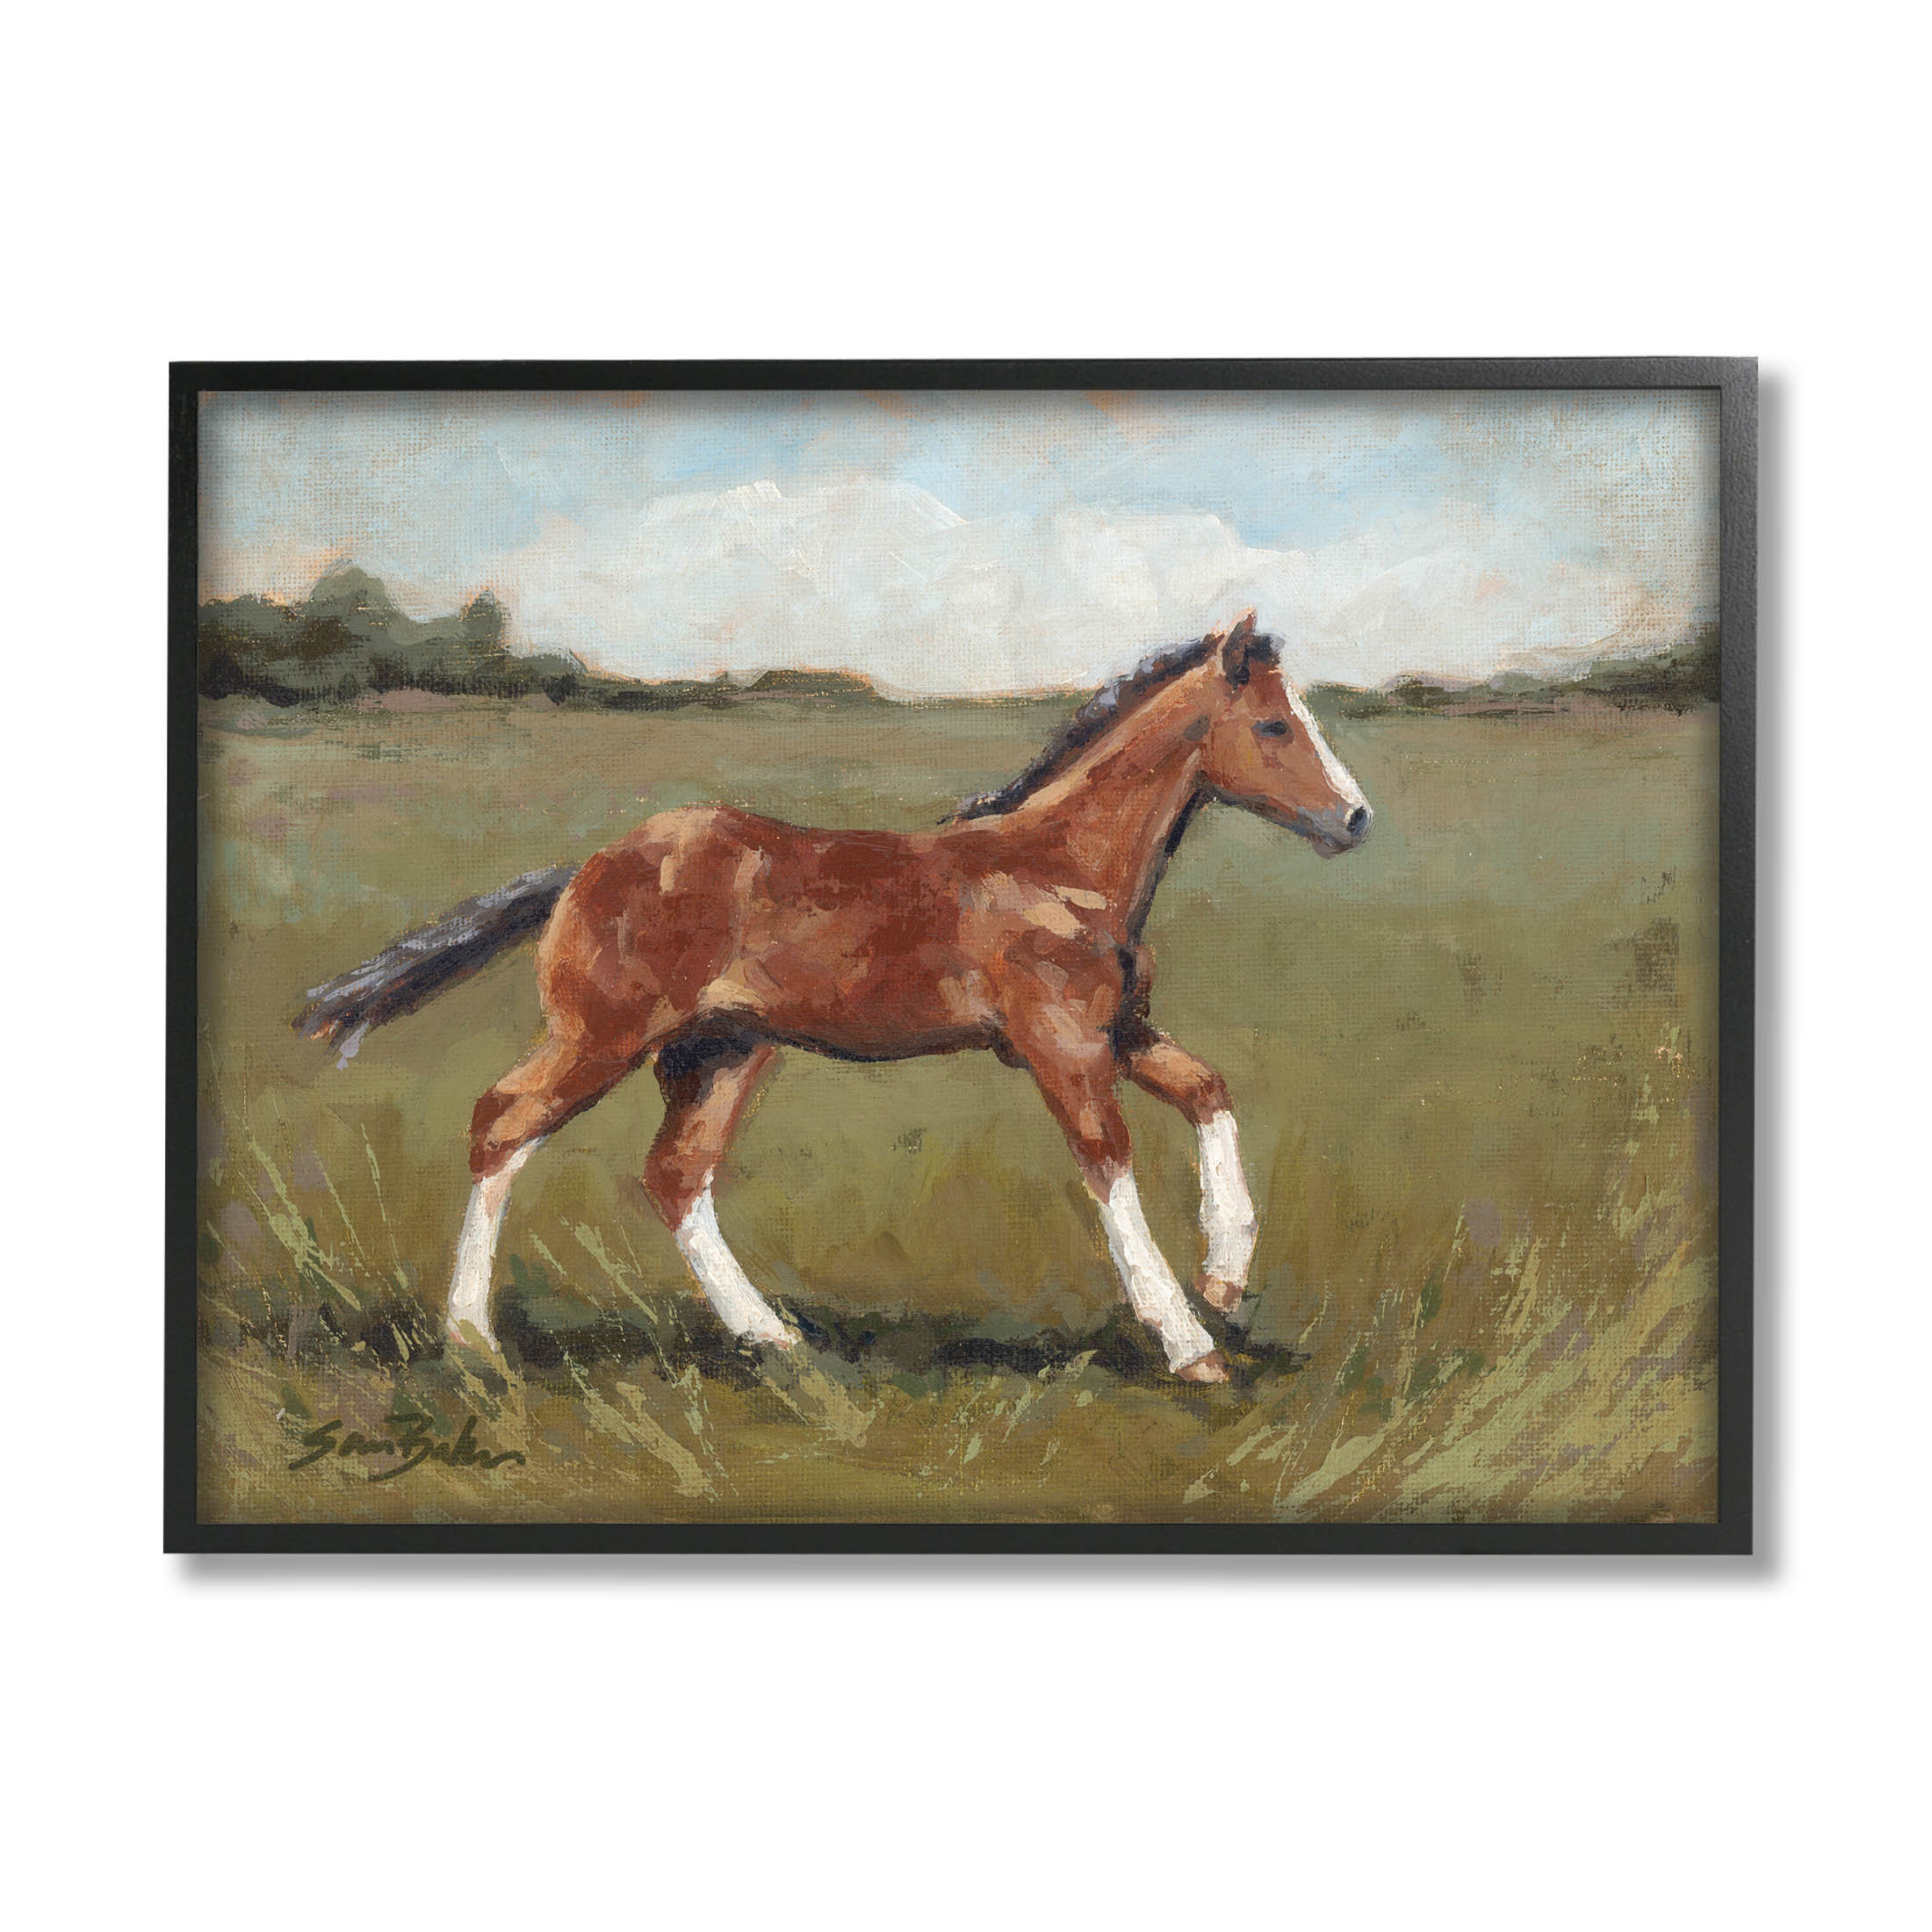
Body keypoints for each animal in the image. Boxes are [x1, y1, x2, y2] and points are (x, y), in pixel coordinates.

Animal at [294, 609, 1374, 1383]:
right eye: (1274, 725)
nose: (1357, 819)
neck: (1063, 872)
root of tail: (585, 867)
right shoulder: (1061, 1047)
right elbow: (1110, 1170)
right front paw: (1189, 1343)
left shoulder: (1123, 1032)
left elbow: (1210, 1092)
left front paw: (1225, 1278)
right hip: (603, 1033)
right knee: (503, 1122)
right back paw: (472, 1342)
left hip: (723, 1050)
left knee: (675, 1175)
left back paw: (772, 1339)